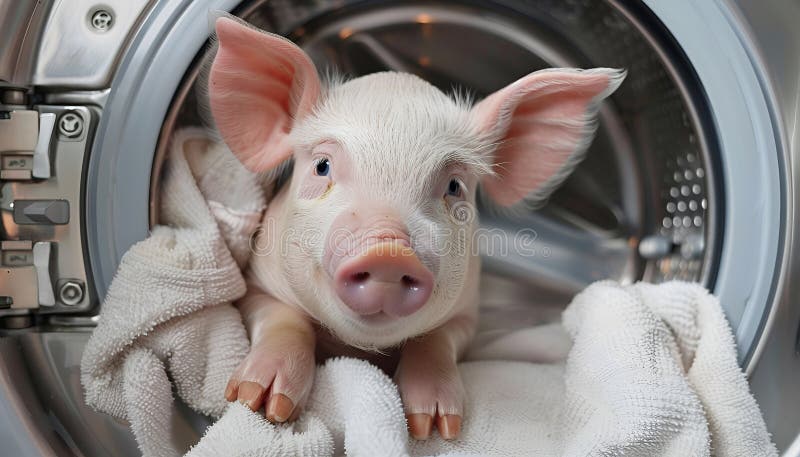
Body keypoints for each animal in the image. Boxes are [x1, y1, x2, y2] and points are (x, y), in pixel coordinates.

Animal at [208, 16, 624, 440]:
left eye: (454, 186)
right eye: (322, 166)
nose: (388, 252)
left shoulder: (467, 313)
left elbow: (436, 338)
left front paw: (434, 426)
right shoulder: (257, 282)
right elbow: (284, 319)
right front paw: (259, 404)